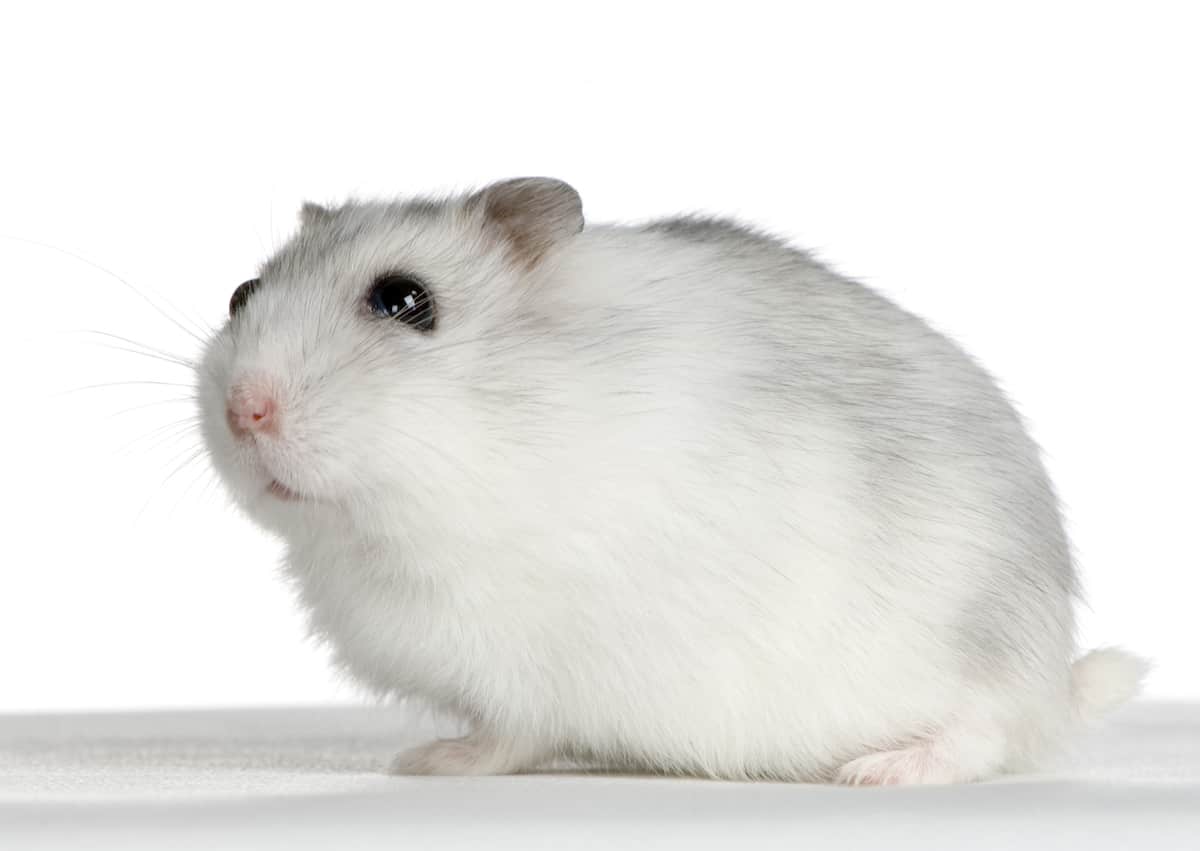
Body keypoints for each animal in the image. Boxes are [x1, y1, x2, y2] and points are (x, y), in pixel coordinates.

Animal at [197, 178, 1146, 784]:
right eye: (242, 292)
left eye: (403, 300)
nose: (245, 410)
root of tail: (1050, 677)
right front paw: (421, 756)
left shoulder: (520, 666)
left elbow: (504, 736)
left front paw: (426, 762)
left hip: (971, 657)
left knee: (985, 734)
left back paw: (881, 772)